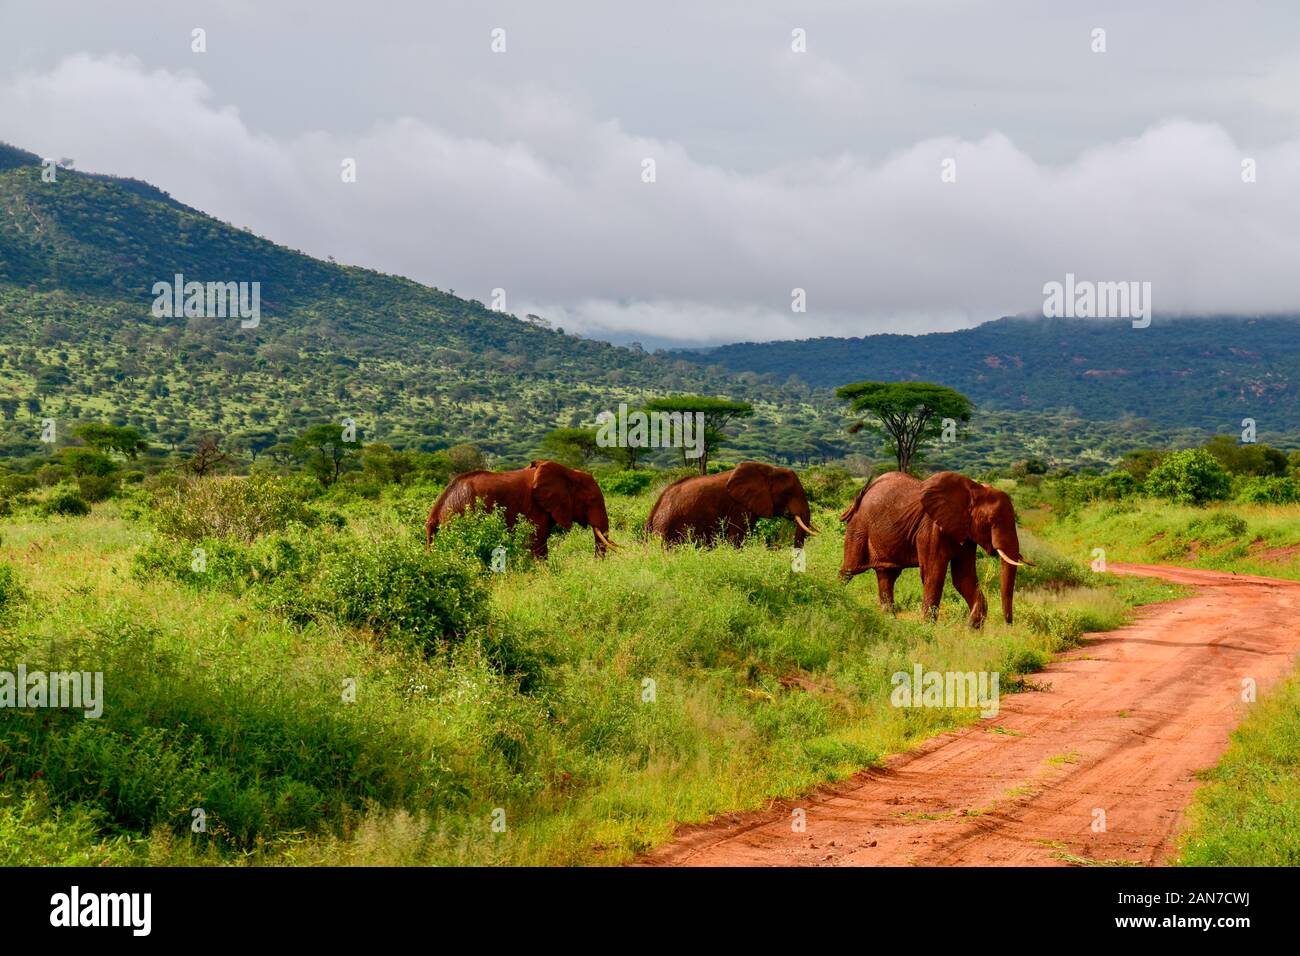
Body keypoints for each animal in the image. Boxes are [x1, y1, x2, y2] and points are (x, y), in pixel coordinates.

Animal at [425, 459, 619, 559]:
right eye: (591, 500)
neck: (568, 472)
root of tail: (435, 511)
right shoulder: (535, 507)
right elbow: (536, 542)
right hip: (461, 514)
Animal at [839, 470, 1031, 627]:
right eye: (990, 521)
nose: (1008, 624)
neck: (974, 490)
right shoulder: (931, 528)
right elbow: (933, 574)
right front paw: (927, 628)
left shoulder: (966, 533)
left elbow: (963, 578)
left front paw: (972, 628)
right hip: (858, 528)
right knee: (849, 571)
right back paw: (836, 598)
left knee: (887, 576)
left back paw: (890, 621)